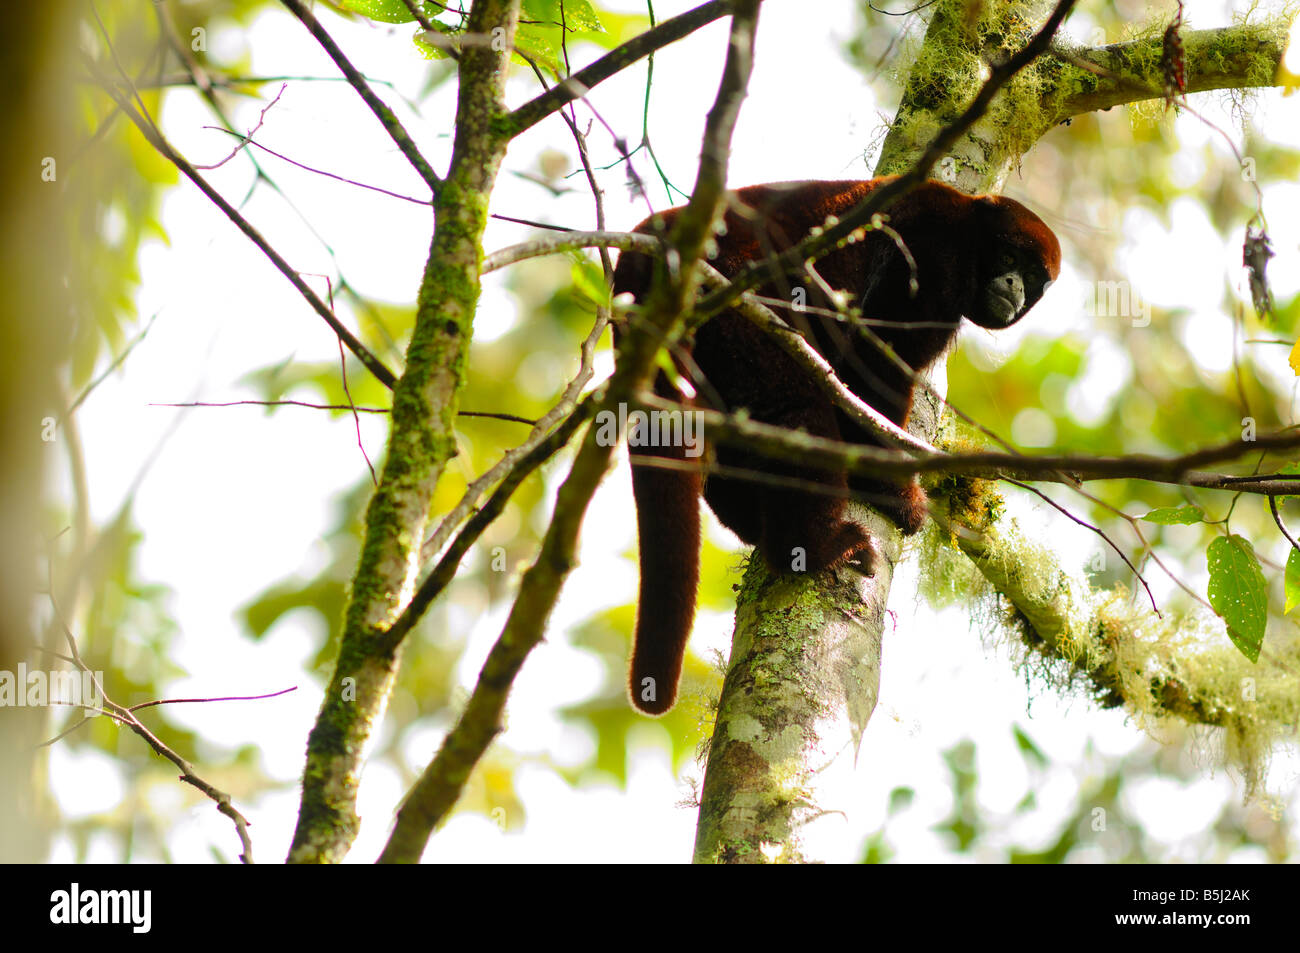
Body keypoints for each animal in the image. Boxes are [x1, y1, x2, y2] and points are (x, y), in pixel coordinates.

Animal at [612, 177, 1061, 715]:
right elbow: (875, 361)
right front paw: (893, 490)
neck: (972, 230)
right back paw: (812, 545)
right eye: (1008, 257)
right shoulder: (936, 255)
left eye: (1032, 276)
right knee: (794, 402)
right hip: (733, 294)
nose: (1015, 286)